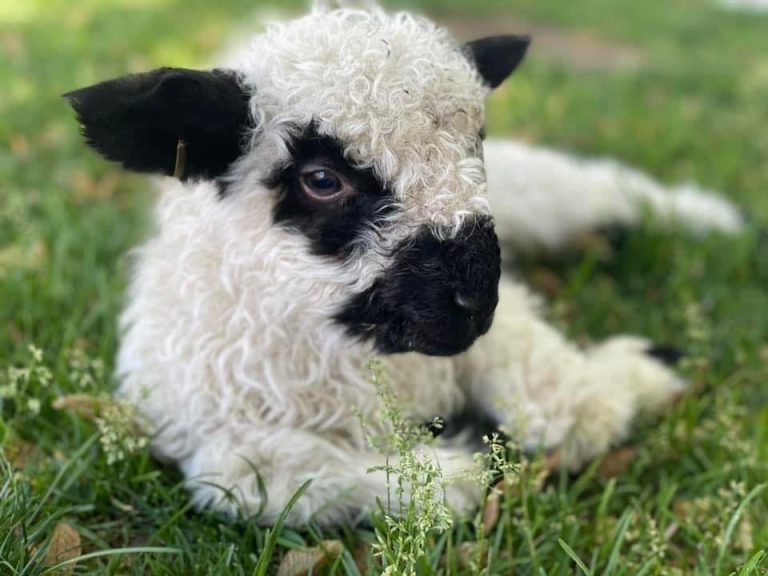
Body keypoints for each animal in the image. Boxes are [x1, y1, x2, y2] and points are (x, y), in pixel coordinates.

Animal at [64, 3, 743, 527]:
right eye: (321, 179)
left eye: (475, 145)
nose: (475, 302)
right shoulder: (212, 434)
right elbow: (281, 476)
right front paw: (458, 467)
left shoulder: (498, 332)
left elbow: (572, 410)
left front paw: (648, 369)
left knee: (601, 188)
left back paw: (713, 219)